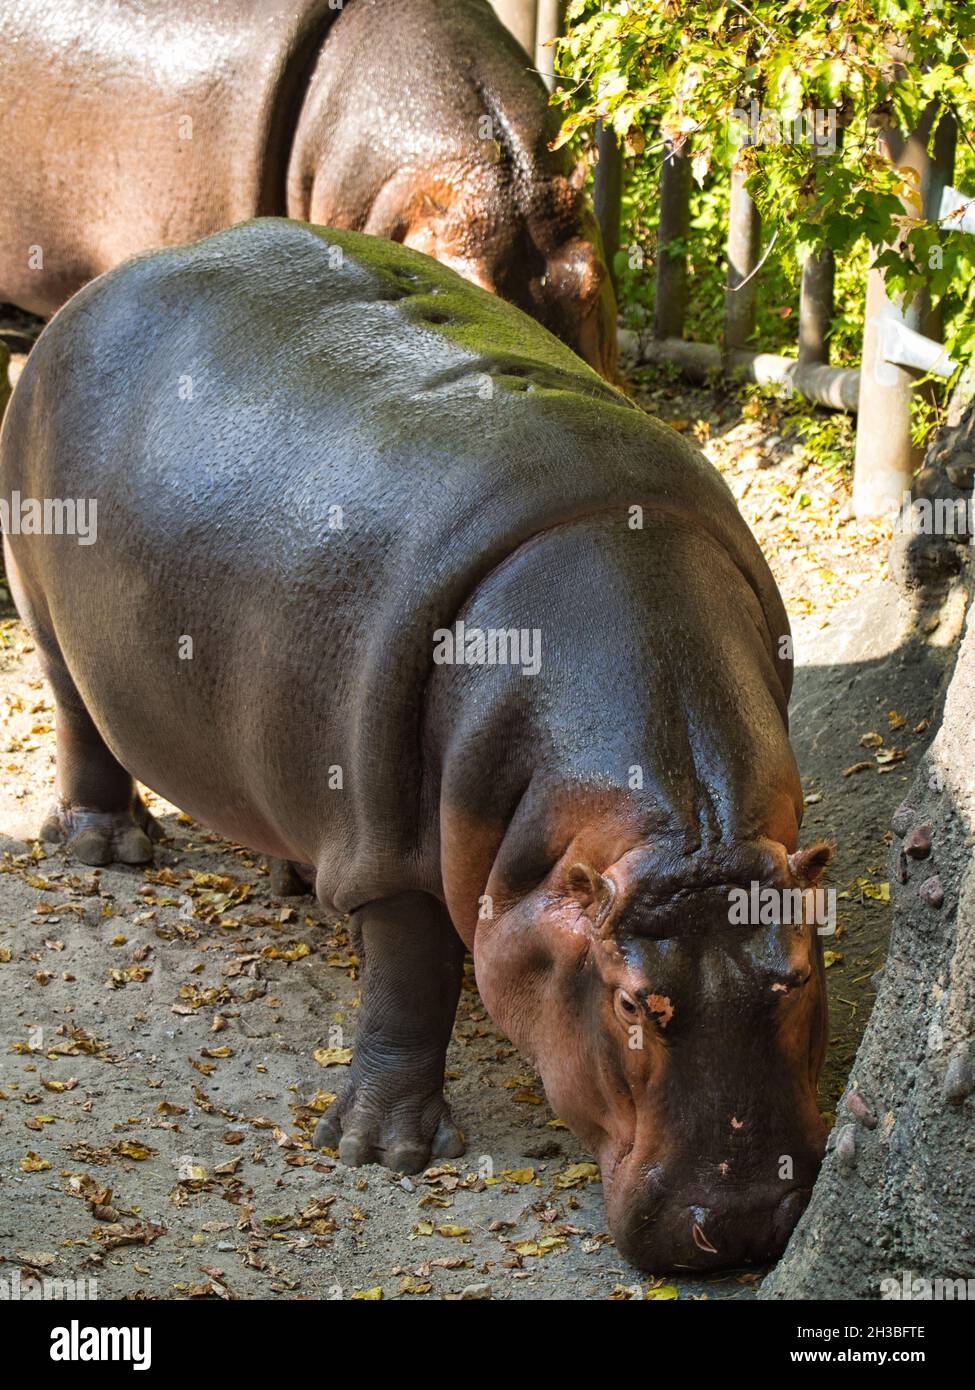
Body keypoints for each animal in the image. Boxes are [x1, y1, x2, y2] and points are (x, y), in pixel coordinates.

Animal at [0, 219, 828, 1270]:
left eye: (796, 976)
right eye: (631, 1004)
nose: (737, 1226)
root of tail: (108, 282)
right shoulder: (391, 844)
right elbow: (411, 981)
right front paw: (379, 1152)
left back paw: (289, 877)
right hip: (44, 609)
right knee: (78, 718)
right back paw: (113, 849)